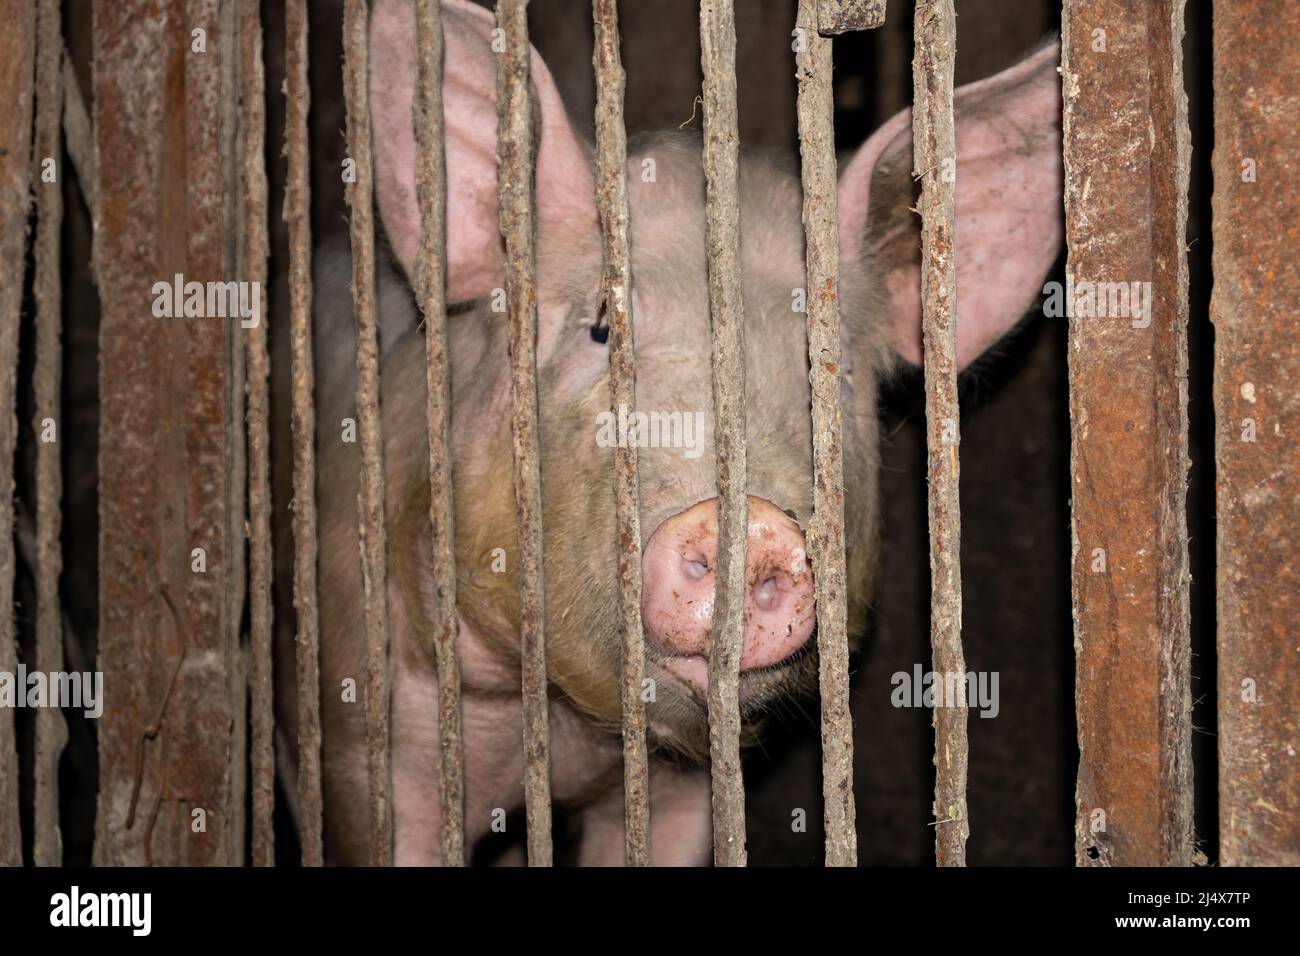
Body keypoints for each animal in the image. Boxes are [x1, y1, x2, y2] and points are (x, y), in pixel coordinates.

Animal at [273, 0, 1062, 866]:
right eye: (601, 327)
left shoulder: (687, 785)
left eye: (833, 364)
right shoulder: (359, 743)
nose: (749, 525)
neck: (564, 726)